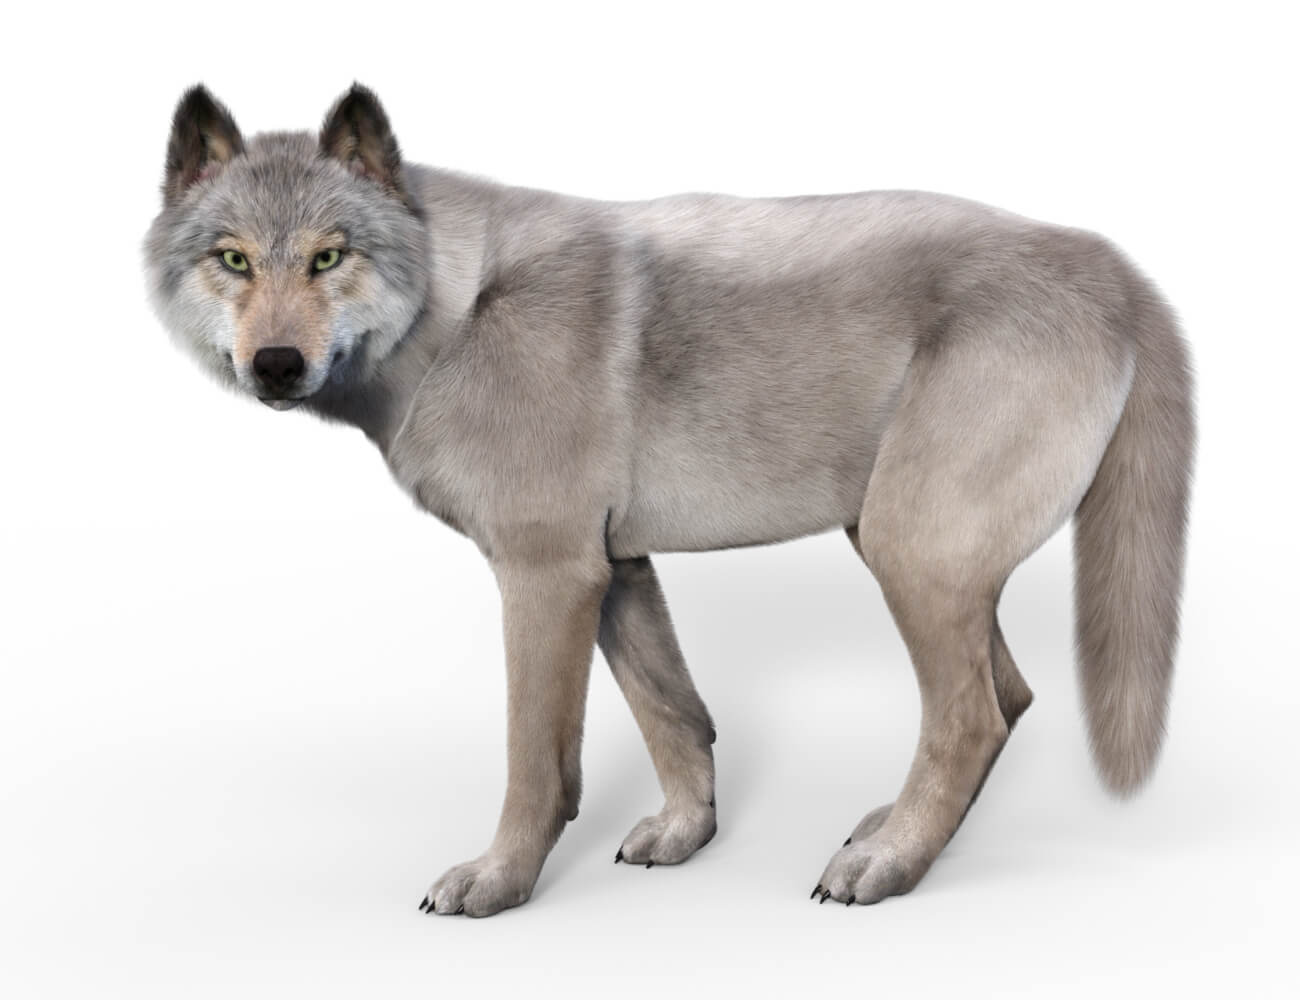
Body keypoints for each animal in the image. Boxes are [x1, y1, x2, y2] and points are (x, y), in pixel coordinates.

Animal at [144, 84, 1194, 917]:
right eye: (234, 260)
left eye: (330, 257)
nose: (277, 365)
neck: (457, 310)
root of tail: (1121, 271)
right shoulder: (615, 568)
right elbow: (675, 716)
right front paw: (687, 835)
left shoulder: (546, 576)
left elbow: (537, 761)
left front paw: (499, 882)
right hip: (901, 545)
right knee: (1007, 697)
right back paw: (890, 829)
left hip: (911, 551)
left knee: (972, 715)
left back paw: (890, 863)